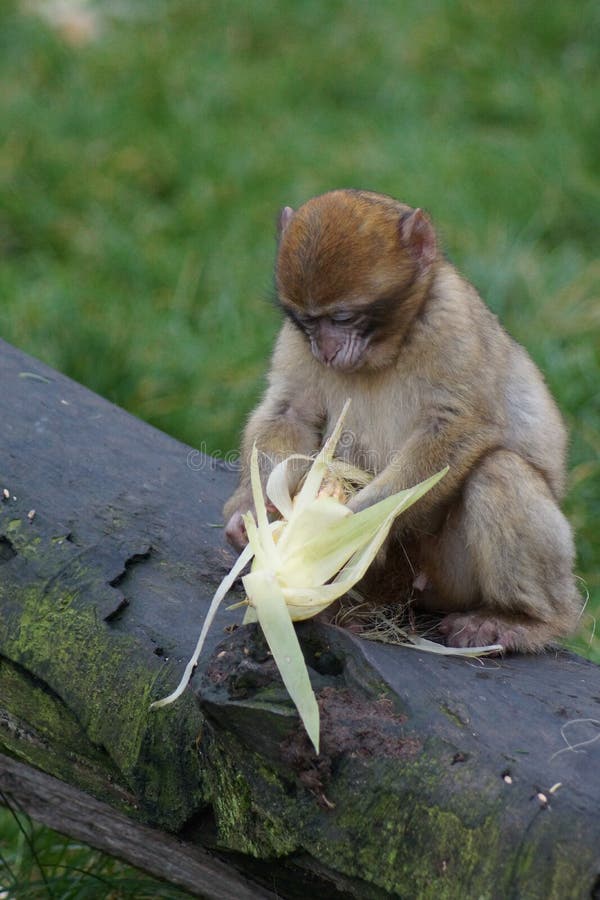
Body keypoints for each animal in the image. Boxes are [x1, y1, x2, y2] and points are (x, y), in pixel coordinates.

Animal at [223, 189, 581, 653]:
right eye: (308, 320)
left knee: (499, 469)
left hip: (452, 578)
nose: (326, 350)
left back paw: (526, 621)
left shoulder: (451, 320)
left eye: (343, 317)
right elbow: (290, 412)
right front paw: (250, 512)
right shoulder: (295, 339)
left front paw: (352, 528)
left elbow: (456, 426)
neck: (390, 346)